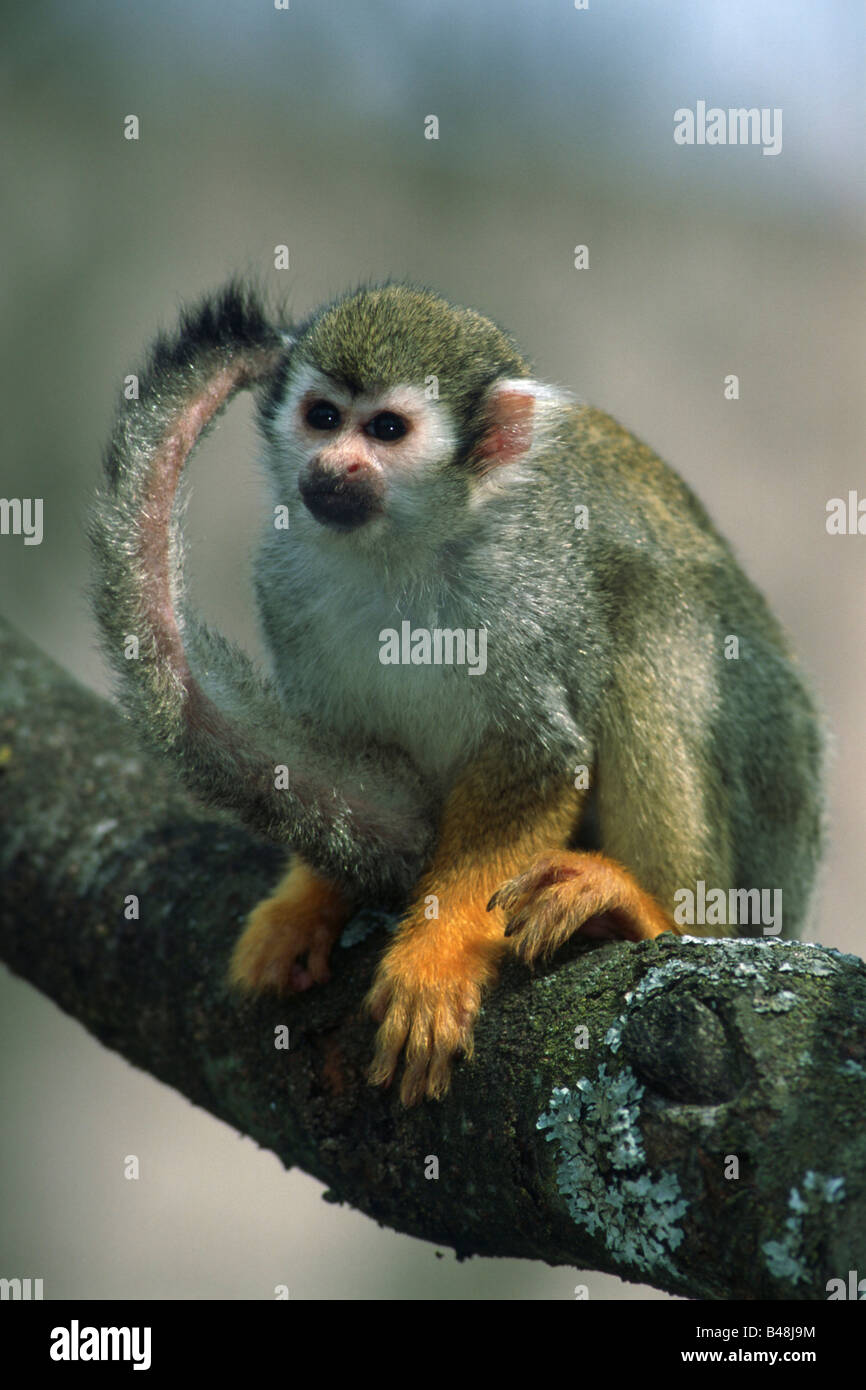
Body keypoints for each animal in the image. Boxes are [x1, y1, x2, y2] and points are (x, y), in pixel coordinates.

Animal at [90, 280, 825, 1106]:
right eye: (322, 416)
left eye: (387, 429)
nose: (333, 464)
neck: (400, 551)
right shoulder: (282, 580)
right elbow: (334, 759)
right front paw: (311, 898)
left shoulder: (526, 585)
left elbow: (538, 755)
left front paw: (435, 954)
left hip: (772, 806)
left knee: (647, 611)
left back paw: (653, 915)